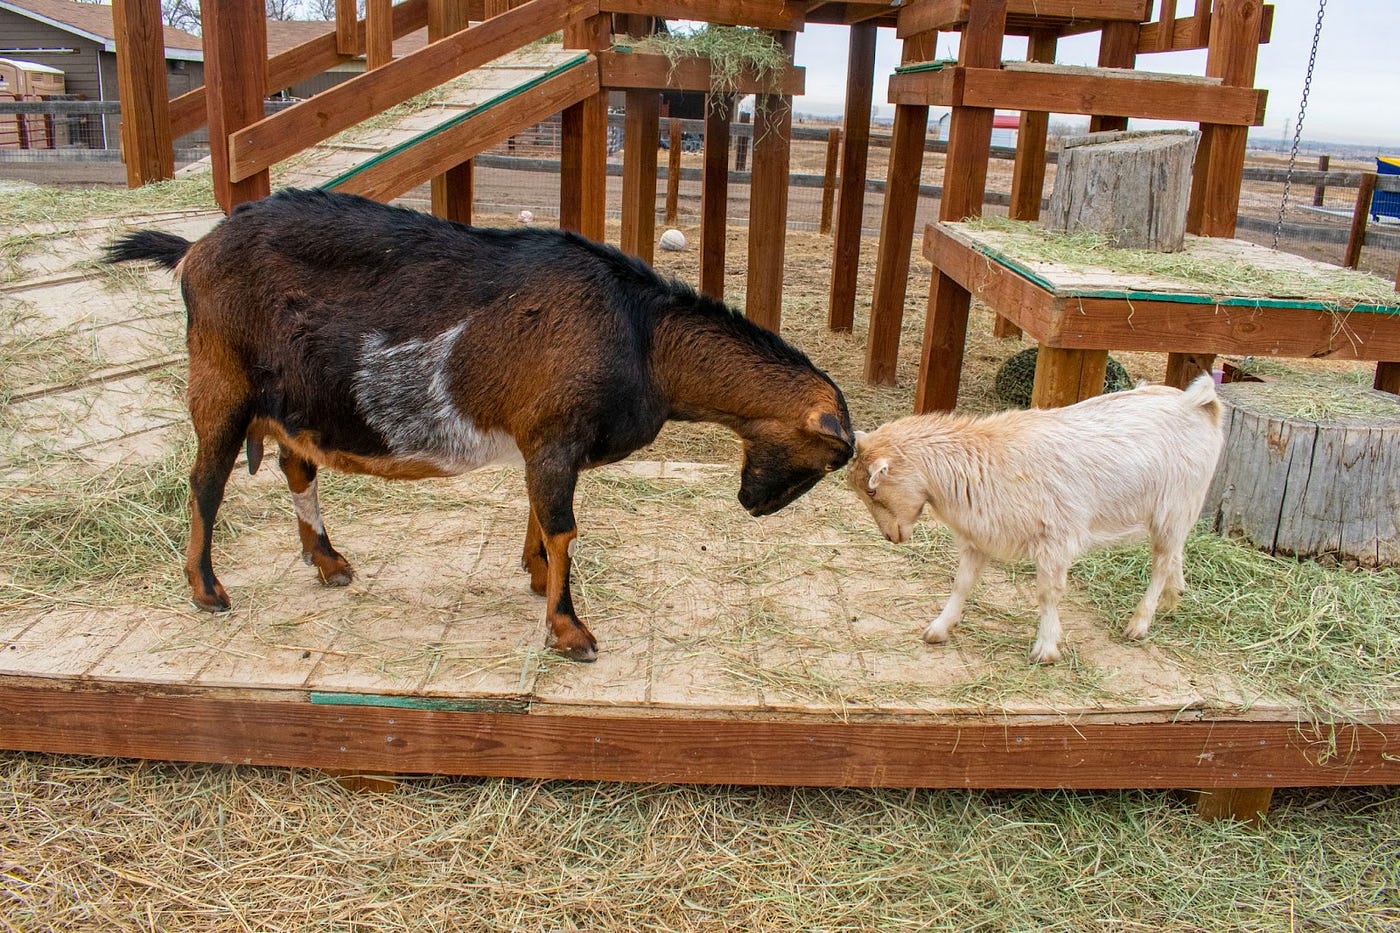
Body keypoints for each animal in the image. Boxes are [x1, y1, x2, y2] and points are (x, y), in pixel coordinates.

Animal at [105, 188, 853, 662]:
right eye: (826, 457)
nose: (753, 503)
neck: (644, 336)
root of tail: (193, 251)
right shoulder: (554, 434)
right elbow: (563, 526)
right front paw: (570, 632)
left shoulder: (544, 443)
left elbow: (539, 514)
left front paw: (535, 576)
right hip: (220, 382)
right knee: (206, 480)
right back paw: (207, 590)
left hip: (290, 402)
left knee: (297, 465)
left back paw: (329, 562)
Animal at [846, 376, 1224, 663]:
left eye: (873, 491)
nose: (891, 536)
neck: (981, 461)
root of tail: (1200, 403)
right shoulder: (978, 537)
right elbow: (962, 584)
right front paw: (939, 628)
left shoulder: (1055, 538)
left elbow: (1047, 593)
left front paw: (1046, 648)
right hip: (1179, 514)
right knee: (1174, 553)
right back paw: (1174, 597)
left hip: (1174, 507)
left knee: (1161, 561)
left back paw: (1139, 623)